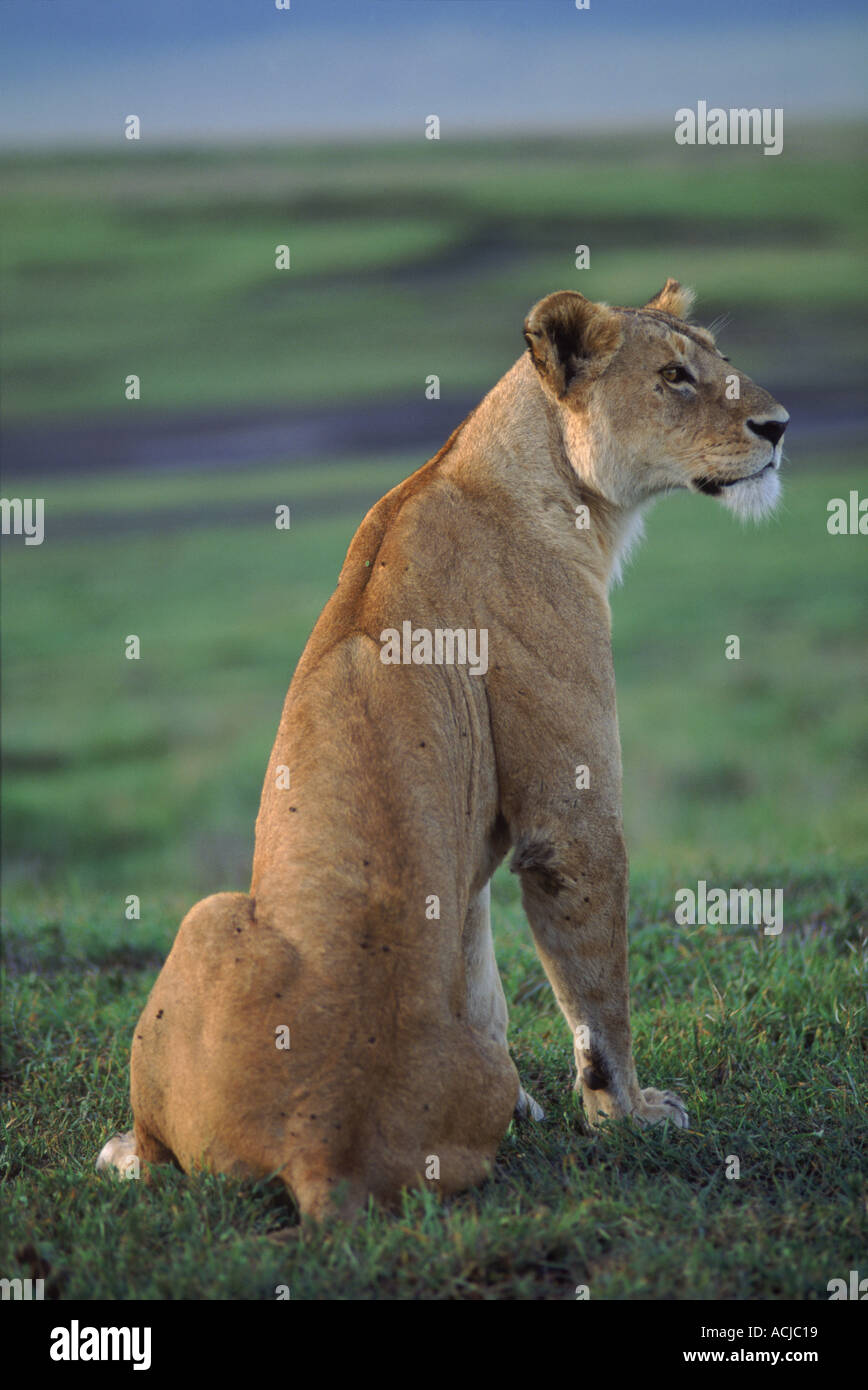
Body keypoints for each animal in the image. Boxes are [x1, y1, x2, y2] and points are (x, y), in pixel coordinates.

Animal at [97, 280, 788, 1218]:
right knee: (155, 1150)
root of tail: (321, 1149)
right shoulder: (567, 817)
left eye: (720, 360)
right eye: (675, 376)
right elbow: (596, 989)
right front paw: (632, 1115)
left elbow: (477, 964)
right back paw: (118, 1152)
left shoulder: (469, 850)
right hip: (205, 911)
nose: (781, 425)